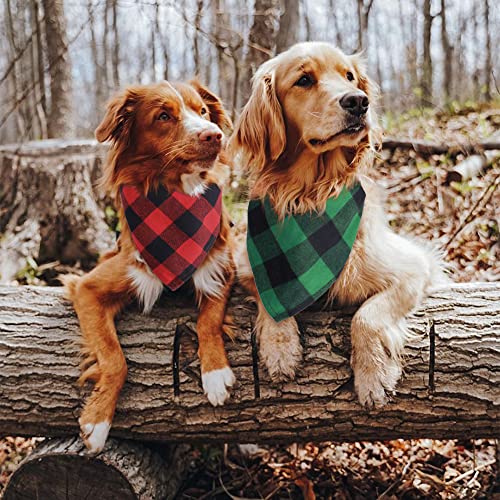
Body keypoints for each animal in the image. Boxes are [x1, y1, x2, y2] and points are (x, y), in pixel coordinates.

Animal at [64, 81, 236, 454]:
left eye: (203, 110)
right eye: (163, 116)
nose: (214, 135)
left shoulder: (220, 269)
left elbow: (209, 320)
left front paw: (215, 373)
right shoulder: (87, 288)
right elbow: (114, 359)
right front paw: (98, 420)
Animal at [230, 43, 446, 408]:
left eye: (349, 76)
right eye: (304, 80)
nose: (359, 101)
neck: (311, 196)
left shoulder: (414, 267)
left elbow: (367, 317)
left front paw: (373, 376)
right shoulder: (245, 261)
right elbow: (267, 294)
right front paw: (280, 346)